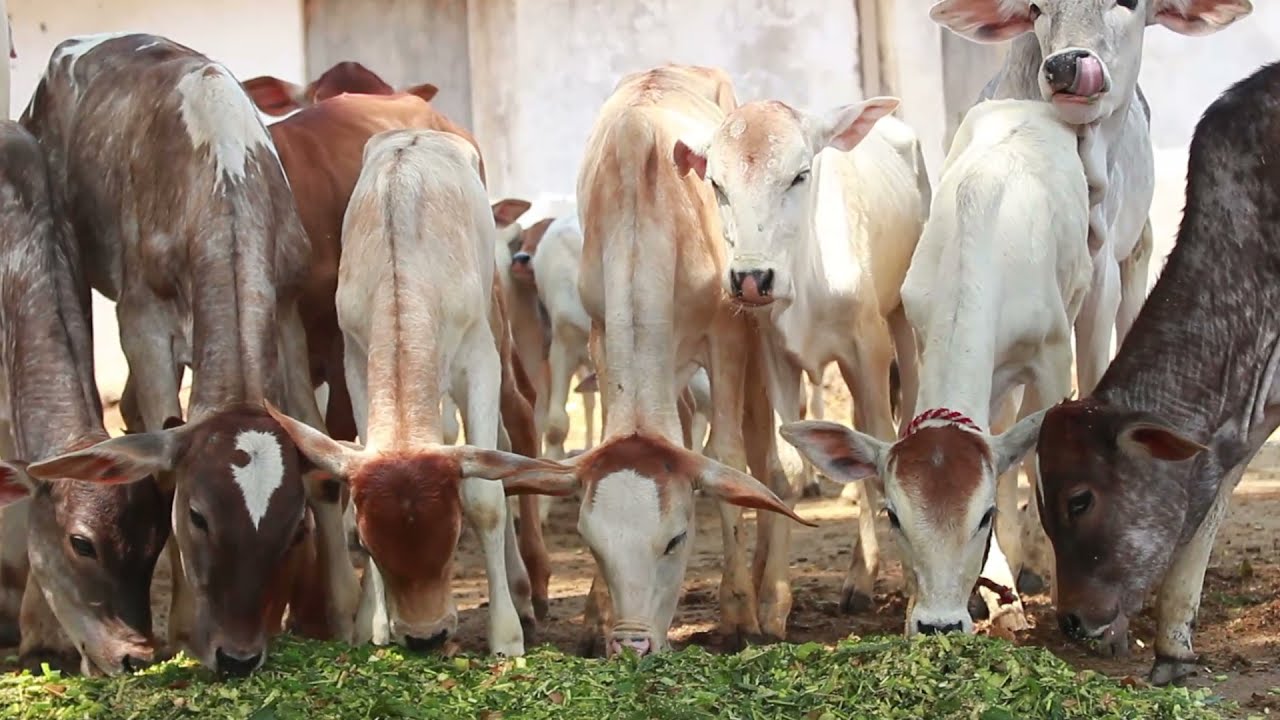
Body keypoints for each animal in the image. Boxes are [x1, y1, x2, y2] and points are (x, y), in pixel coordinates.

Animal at [17, 33, 355, 676]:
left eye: (292, 530)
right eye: (197, 516)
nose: (238, 657)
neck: (221, 178)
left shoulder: (287, 309)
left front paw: (348, 619)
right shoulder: (143, 320)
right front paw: (180, 629)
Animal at [242, 82, 552, 620]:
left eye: (451, 540)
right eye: (372, 546)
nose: (428, 635)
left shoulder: (477, 356)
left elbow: (487, 487)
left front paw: (506, 629)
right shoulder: (351, 360)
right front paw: (371, 619)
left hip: (497, 319)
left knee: (516, 421)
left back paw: (527, 585)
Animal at [673, 96, 928, 616]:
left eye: (799, 174)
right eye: (717, 183)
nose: (752, 279)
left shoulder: (867, 350)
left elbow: (882, 457)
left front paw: (914, 591)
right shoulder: (776, 358)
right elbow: (783, 471)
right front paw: (773, 600)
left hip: (899, 326)